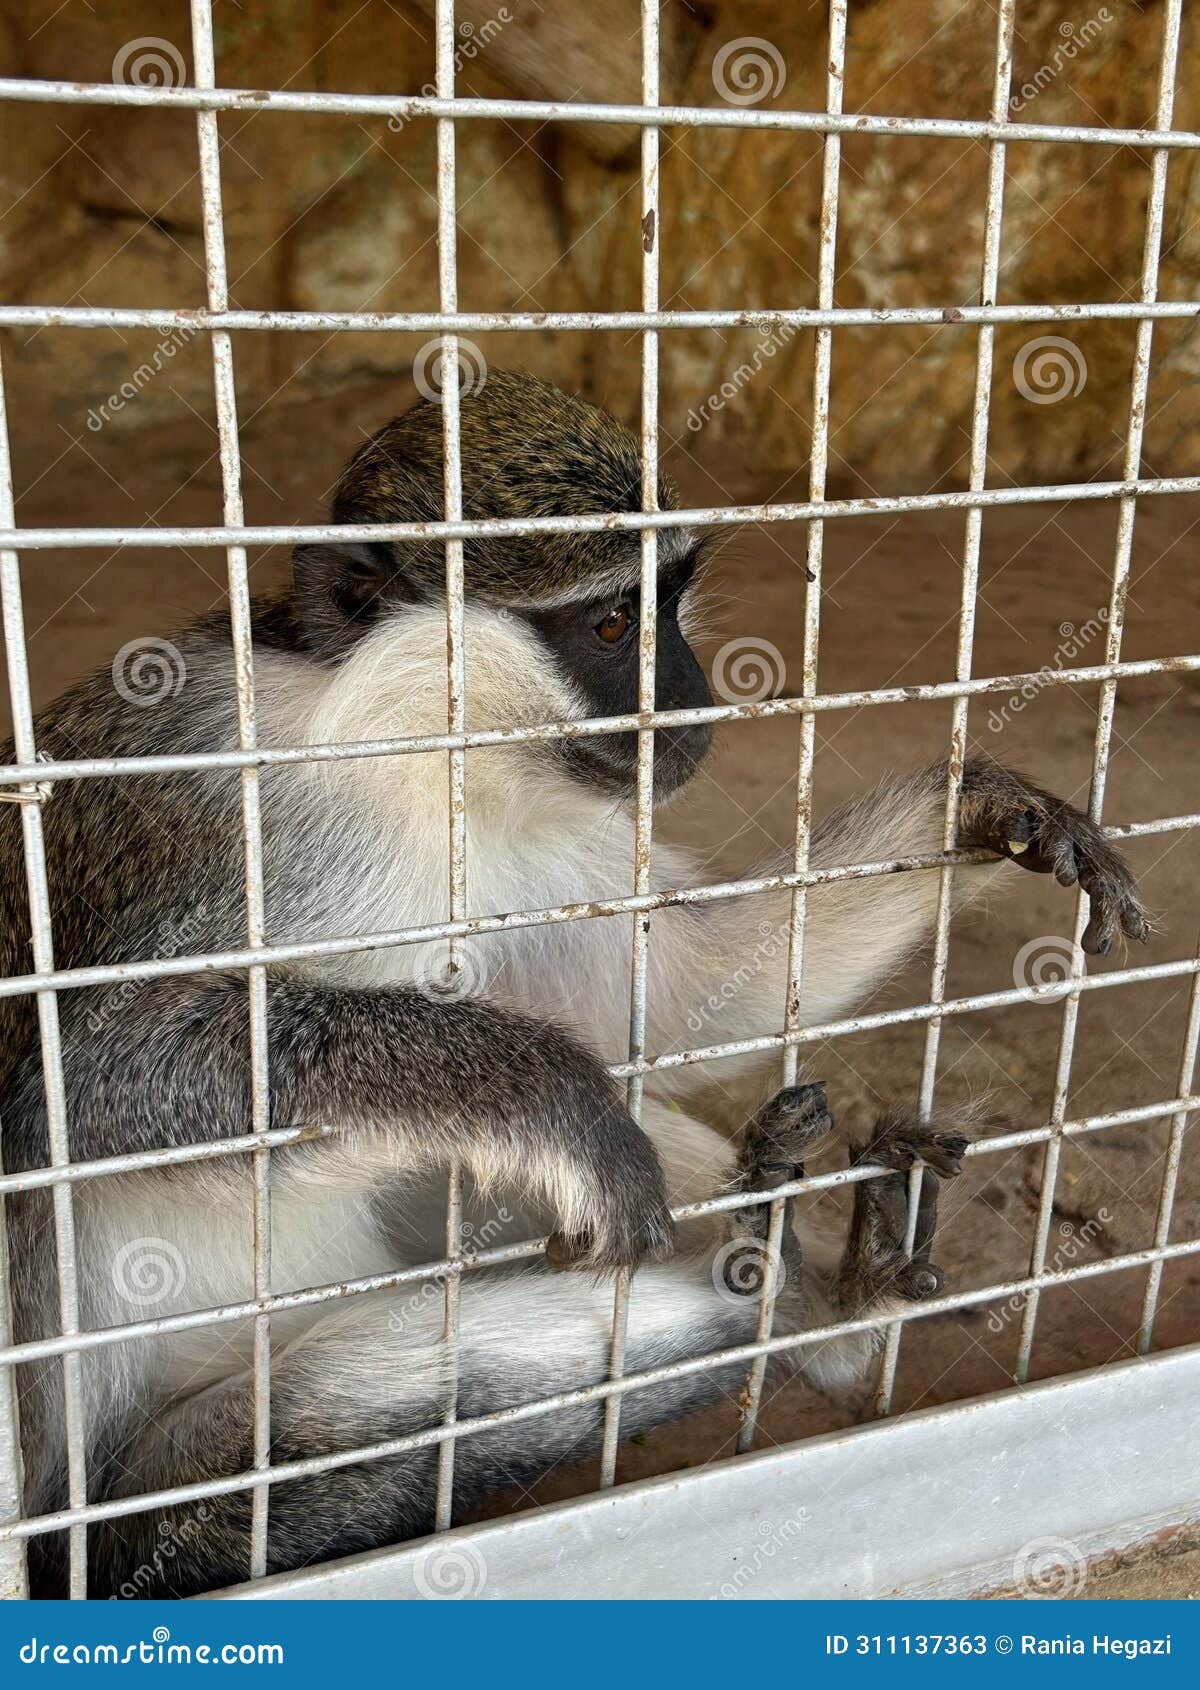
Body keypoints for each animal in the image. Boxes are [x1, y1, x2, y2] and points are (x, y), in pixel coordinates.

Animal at [0, 369, 1149, 1598]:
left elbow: (685, 1001)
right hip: (155, 1513)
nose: (690, 706)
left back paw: (815, 1293)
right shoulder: (214, 800)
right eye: (609, 625)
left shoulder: (549, 843)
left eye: (671, 604)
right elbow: (86, 1087)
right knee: (330, 1410)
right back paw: (768, 1280)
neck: (418, 758)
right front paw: (549, 1095)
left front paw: (980, 809)